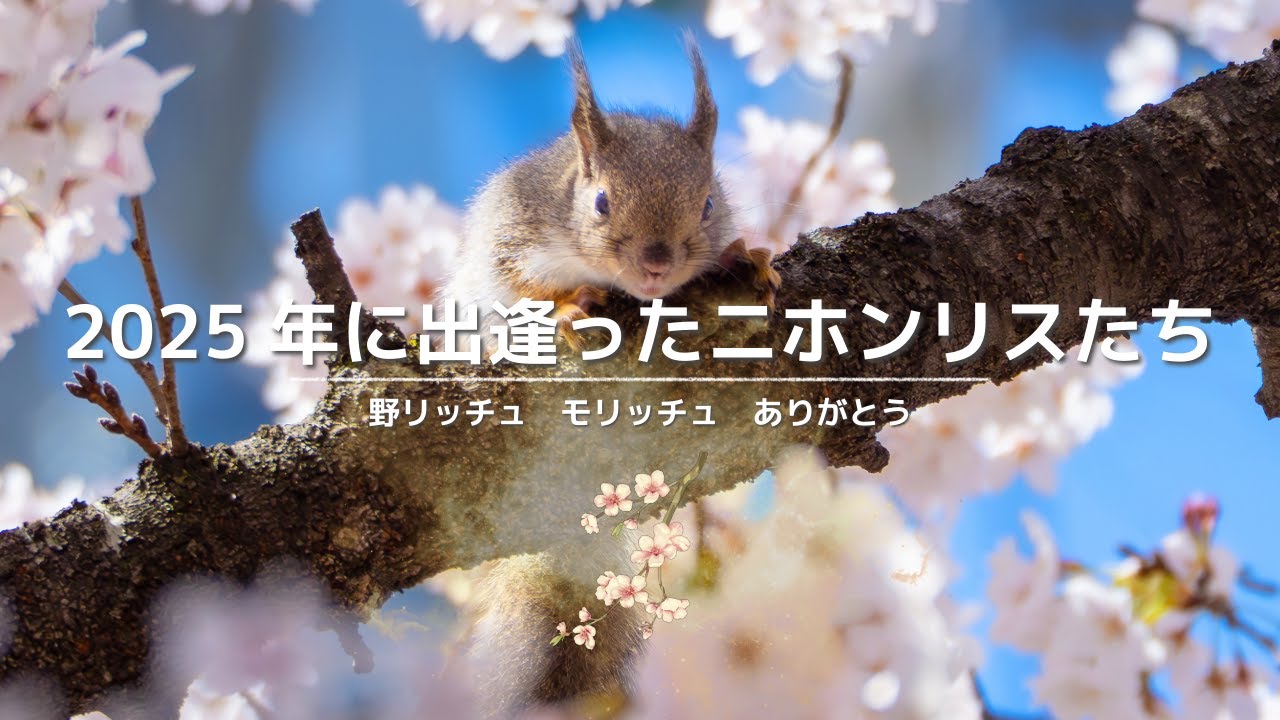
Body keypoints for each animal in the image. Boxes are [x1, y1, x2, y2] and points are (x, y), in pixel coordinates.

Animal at [443, 40, 780, 718]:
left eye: (708, 205)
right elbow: (519, 285)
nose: (656, 264)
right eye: (600, 202)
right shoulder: (512, 235)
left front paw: (745, 256)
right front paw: (567, 308)